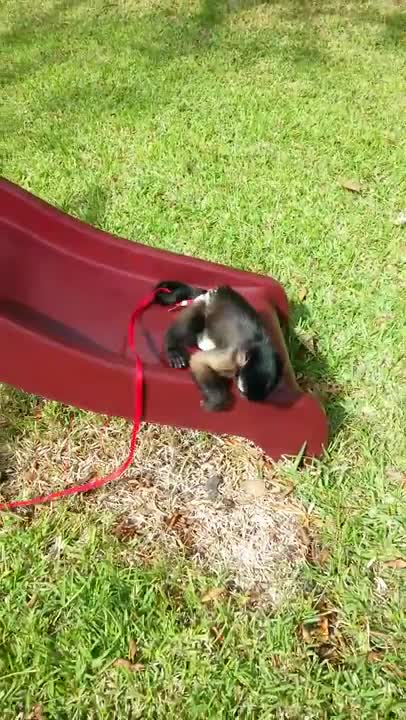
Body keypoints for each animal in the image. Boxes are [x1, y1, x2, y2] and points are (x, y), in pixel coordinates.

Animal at [154, 280, 283, 411]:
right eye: (241, 392)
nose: (244, 398)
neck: (257, 345)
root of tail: (216, 291)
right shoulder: (231, 358)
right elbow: (198, 361)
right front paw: (216, 399)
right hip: (205, 301)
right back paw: (173, 348)